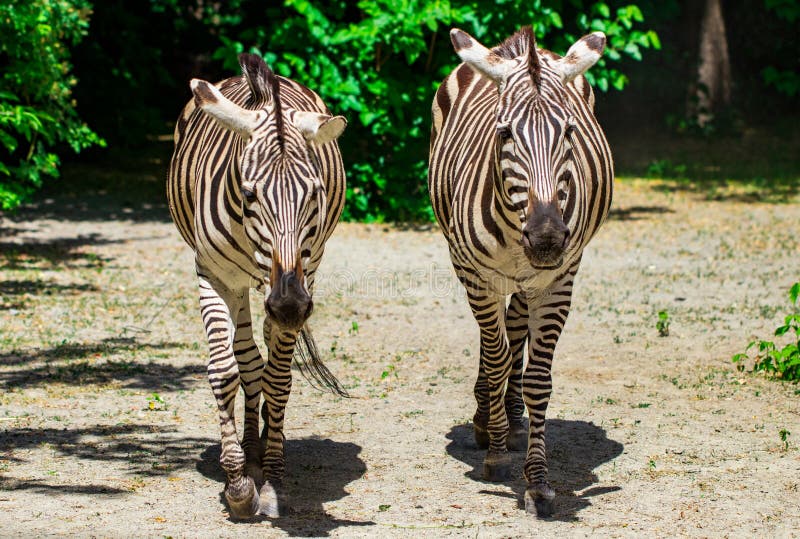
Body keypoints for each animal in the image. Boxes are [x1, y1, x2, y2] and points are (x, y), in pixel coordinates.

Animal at [167, 53, 348, 519]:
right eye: (249, 195)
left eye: (314, 194)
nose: (289, 306)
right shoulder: (212, 273)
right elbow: (225, 371)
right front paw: (238, 482)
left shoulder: (304, 274)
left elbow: (279, 378)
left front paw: (271, 478)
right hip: (241, 285)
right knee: (248, 357)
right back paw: (250, 445)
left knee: (264, 360)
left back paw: (265, 440)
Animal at [428, 26, 613, 516]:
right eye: (505, 132)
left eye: (568, 131)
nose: (547, 238)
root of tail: (515, 48)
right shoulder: (478, 277)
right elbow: (495, 358)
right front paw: (495, 454)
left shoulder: (558, 281)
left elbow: (536, 379)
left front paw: (538, 481)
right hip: (470, 266)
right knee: (497, 338)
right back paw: (490, 422)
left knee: (514, 330)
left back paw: (510, 419)